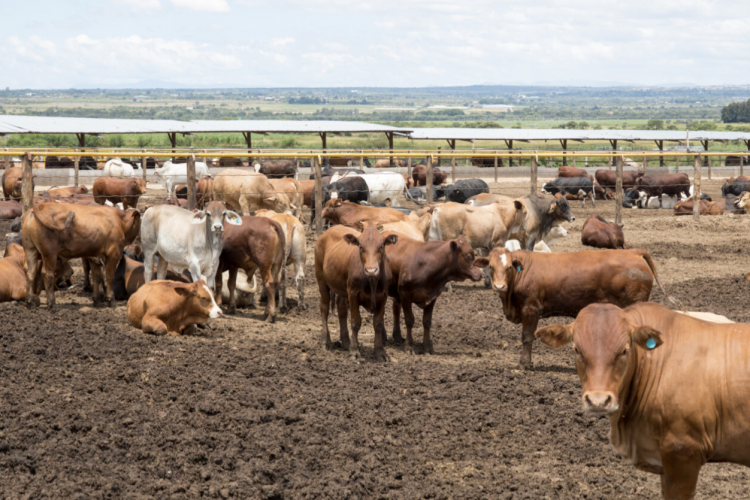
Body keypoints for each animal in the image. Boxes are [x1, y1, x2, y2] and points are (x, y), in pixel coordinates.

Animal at [315, 222, 398, 362]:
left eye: (381, 246)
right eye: (360, 246)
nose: (371, 270)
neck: (372, 281)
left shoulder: (383, 296)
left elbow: (378, 324)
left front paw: (380, 352)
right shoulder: (353, 294)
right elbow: (355, 322)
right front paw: (354, 351)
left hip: (342, 290)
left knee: (342, 311)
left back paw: (345, 341)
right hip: (322, 280)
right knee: (324, 309)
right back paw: (325, 341)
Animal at [486, 247, 677, 368]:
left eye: (509, 267)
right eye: (490, 266)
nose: (499, 286)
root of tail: (632, 252)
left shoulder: (531, 309)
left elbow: (527, 337)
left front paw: (525, 363)